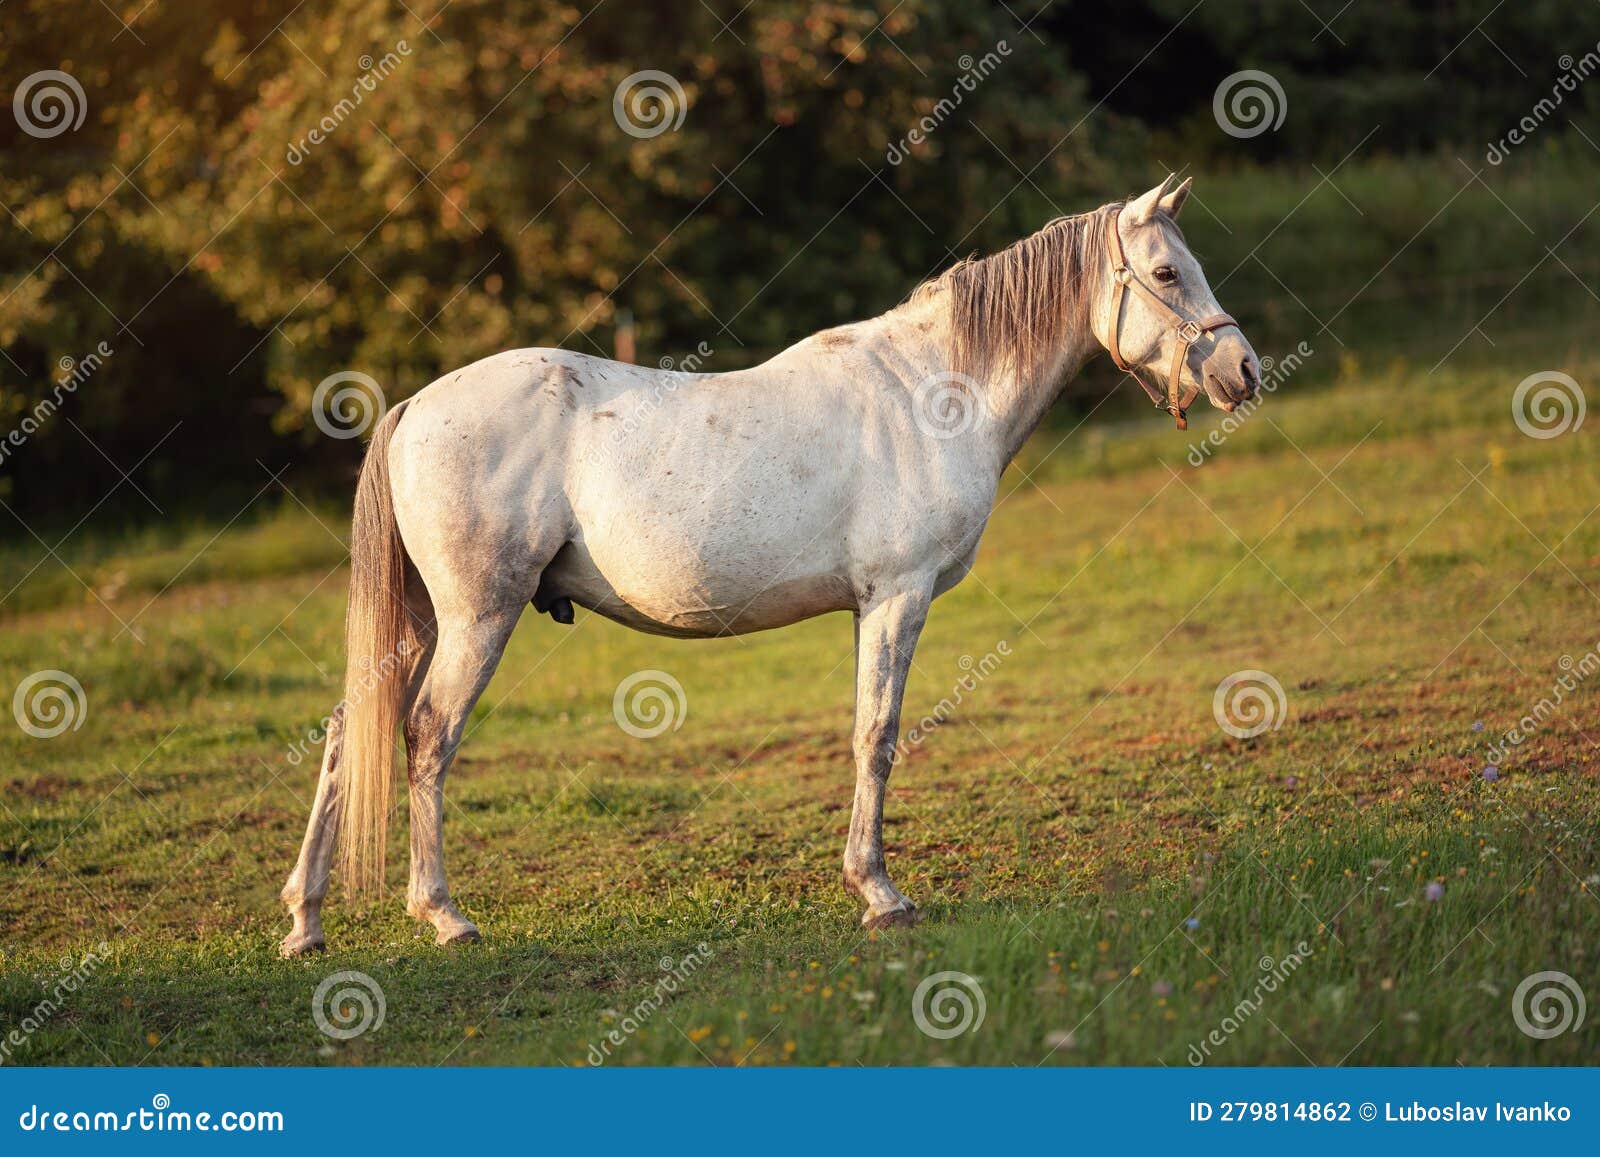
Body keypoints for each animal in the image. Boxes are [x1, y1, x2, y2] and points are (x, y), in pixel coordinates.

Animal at [279, 174, 1262, 955]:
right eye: (1167, 273)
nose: (1244, 370)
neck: (932, 390)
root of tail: (414, 407)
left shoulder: (872, 607)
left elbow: (867, 732)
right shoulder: (897, 598)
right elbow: (878, 735)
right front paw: (881, 894)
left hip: (421, 622)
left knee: (347, 729)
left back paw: (305, 920)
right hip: (477, 617)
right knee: (428, 735)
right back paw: (443, 914)